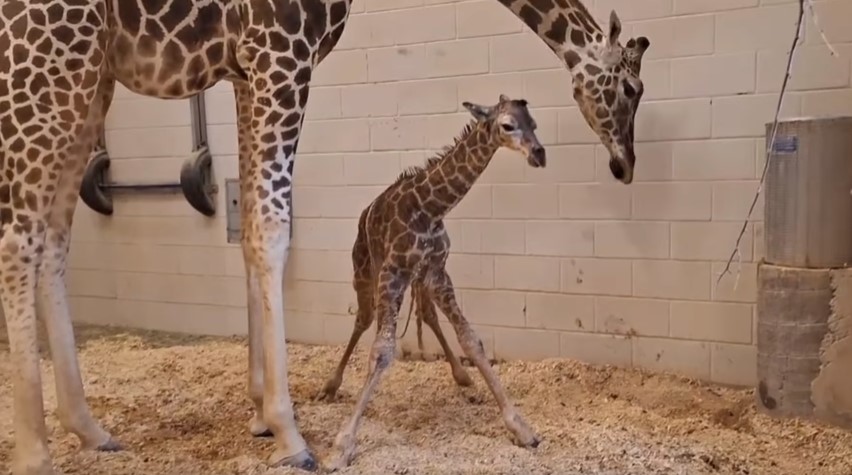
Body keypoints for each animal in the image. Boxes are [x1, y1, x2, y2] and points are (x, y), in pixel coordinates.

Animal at [319, 94, 546, 470]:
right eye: (508, 125)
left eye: (534, 124)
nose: (539, 153)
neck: (430, 208)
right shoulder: (394, 272)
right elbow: (381, 352)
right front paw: (341, 446)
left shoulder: (437, 271)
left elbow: (471, 340)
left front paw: (521, 428)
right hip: (365, 273)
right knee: (363, 320)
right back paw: (329, 386)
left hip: (417, 282)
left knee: (425, 316)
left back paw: (462, 377)